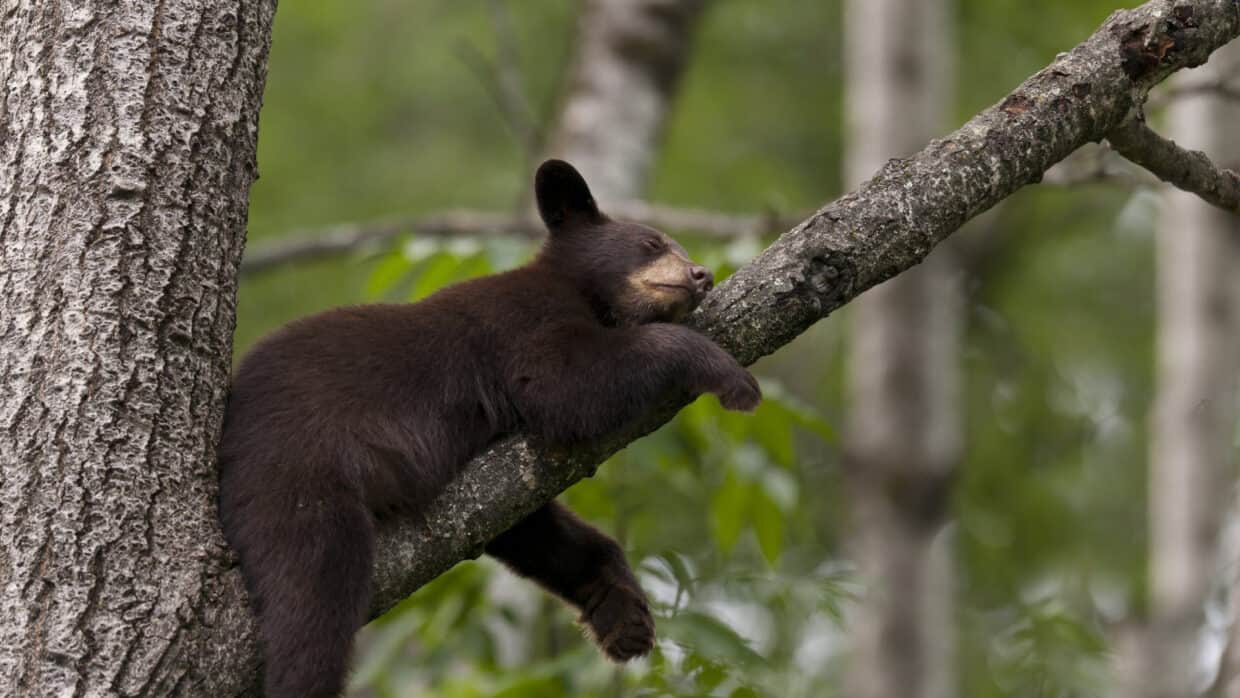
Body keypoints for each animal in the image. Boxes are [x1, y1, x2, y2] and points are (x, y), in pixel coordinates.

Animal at [217, 159, 762, 698]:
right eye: (651, 242)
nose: (702, 274)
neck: (581, 293)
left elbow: (526, 523)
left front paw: (622, 614)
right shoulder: (519, 324)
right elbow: (564, 385)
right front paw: (727, 373)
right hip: (298, 475)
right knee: (315, 597)